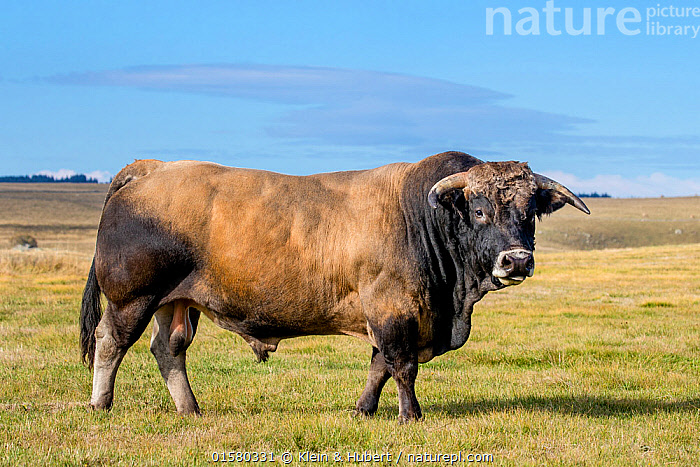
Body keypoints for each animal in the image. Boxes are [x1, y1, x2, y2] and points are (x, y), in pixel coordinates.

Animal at [80, 151, 589, 422]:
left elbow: (378, 367)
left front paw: (364, 410)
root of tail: (151, 168)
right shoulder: (393, 310)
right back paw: (100, 404)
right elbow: (402, 366)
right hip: (132, 298)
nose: (517, 259)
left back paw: (190, 408)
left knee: (169, 349)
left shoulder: (388, 315)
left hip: (174, 301)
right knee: (111, 342)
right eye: (480, 210)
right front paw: (411, 415)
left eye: (529, 212)